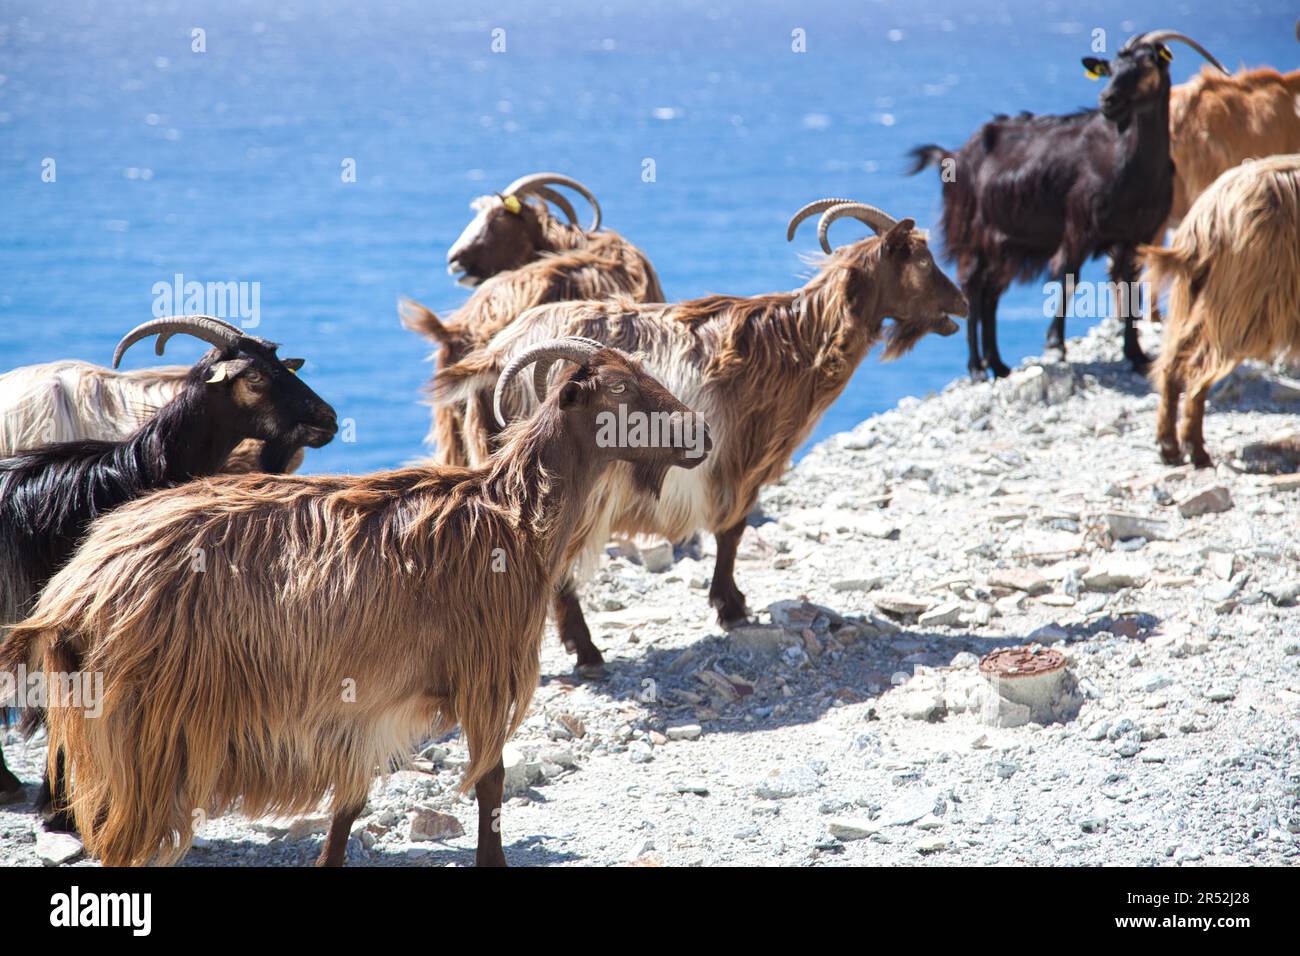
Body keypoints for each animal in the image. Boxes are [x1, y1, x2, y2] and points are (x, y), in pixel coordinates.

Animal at [435, 199, 967, 676]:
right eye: (922, 260)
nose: (961, 303)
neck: (795, 342)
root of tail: (494, 356)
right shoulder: (742, 457)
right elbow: (732, 531)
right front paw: (732, 607)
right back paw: (587, 653)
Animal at [908, 29, 1226, 380]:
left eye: (1146, 65)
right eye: (1111, 68)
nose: (1107, 101)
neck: (1128, 165)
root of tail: (954, 155)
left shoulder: (1137, 235)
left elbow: (1130, 284)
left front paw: (1136, 355)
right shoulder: (1079, 226)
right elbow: (1068, 278)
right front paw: (1056, 345)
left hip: (1007, 245)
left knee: (991, 294)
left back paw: (999, 365)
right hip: (975, 235)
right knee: (973, 289)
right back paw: (977, 368)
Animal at [1146, 154, 1300, 467]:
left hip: (1198, 299)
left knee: (1173, 362)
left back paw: (1170, 448)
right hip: (1242, 304)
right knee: (1197, 368)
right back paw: (1195, 449)